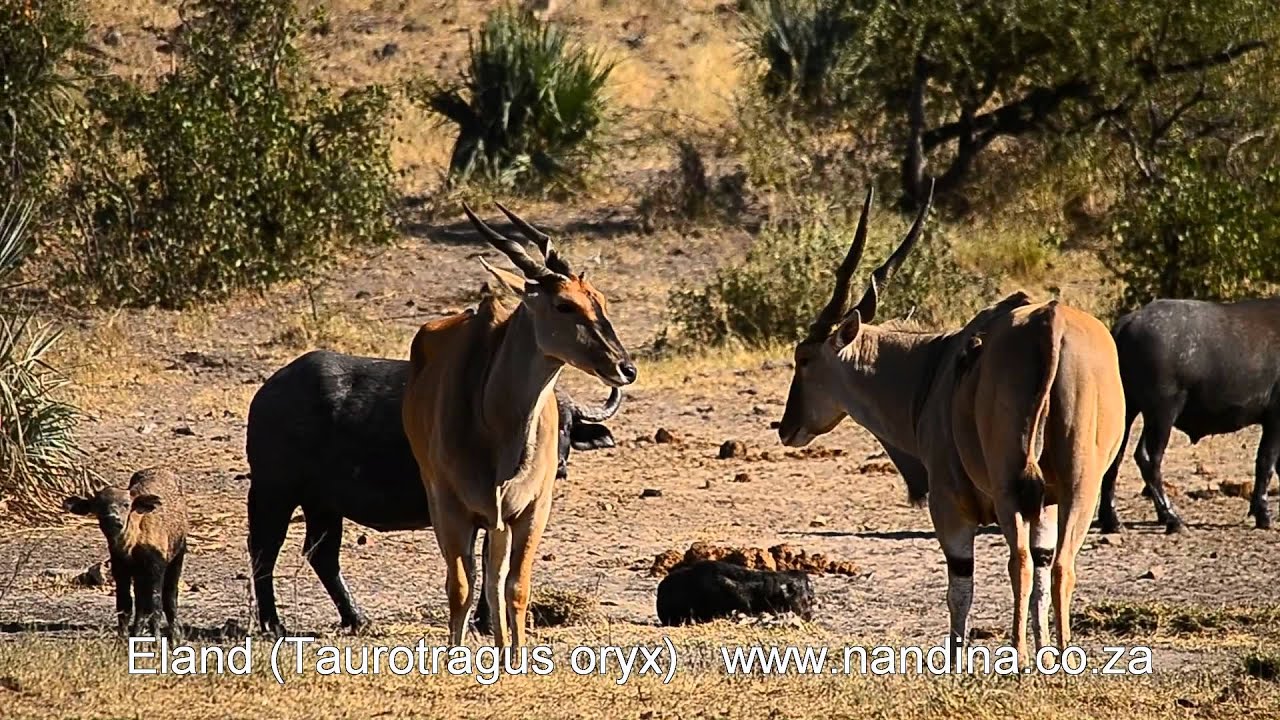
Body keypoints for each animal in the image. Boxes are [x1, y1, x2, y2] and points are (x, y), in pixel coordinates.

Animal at [402, 203, 636, 648]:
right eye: (564, 306)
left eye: (599, 299)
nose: (625, 368)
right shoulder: (451, 509)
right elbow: (460, 587)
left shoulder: (531, 510)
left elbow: (515, 587)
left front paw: (516, 655)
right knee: (476, 579)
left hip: (500, 523)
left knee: (496, 580)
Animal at [776, 185, 1125, 661]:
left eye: (804, 358)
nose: (786, 427)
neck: (935, 365)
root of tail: (1050, 323)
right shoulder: (1047, 505)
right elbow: (1042, 568)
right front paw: (1044, 652)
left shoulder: (949, 504)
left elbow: (961, 587)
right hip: (1078, 486)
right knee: (1060, 566)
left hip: (1009, 487)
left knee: (1018, 562)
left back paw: (1016, 657)